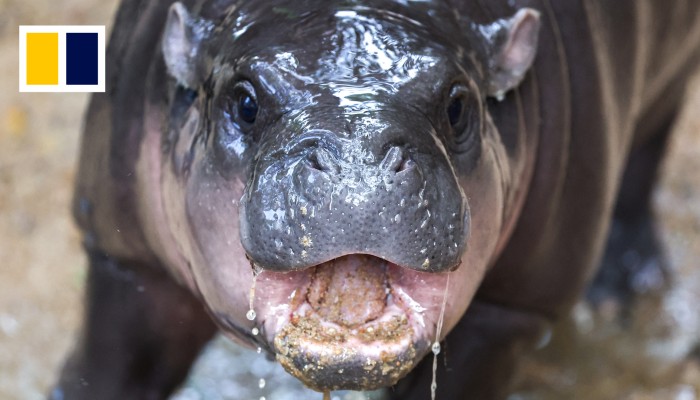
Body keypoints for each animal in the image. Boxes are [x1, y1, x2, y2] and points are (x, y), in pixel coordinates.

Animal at [52, 0, 700, 399]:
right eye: (244, 102)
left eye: (459, 105)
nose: (357, 155)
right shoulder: (127, 261)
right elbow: (104, 370)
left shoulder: (508, 311)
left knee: (647, 150)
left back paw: (624, 289)